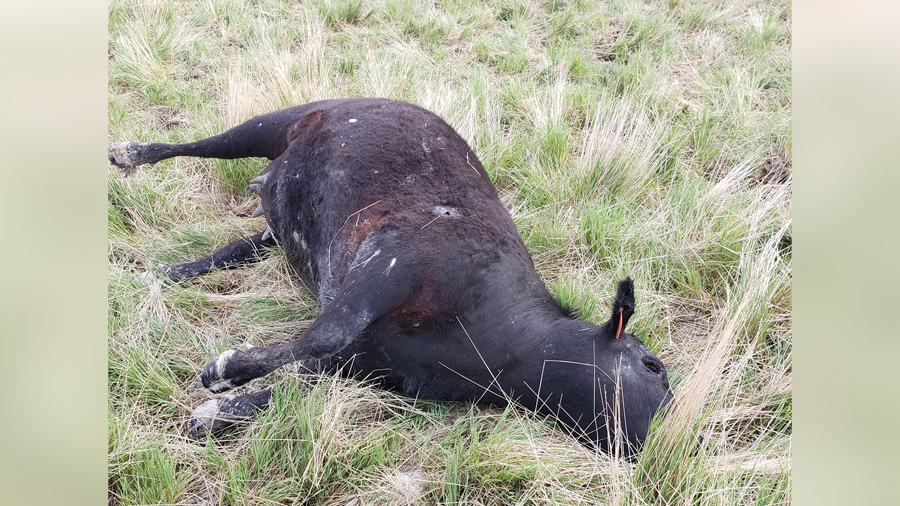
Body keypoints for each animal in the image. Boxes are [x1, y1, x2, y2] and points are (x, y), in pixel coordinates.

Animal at [108, 98, 674, 454]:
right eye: (652, 367)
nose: (662, 433)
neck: (505, 343)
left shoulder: (364, 368)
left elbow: (293, 383)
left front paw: (214, 415)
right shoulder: (391, 262)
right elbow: (325, 331)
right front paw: (226, 370)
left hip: (282, 216)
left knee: (248, 243)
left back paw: (168, 272)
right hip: (275, 124)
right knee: (197, 145)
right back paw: (130, 154)